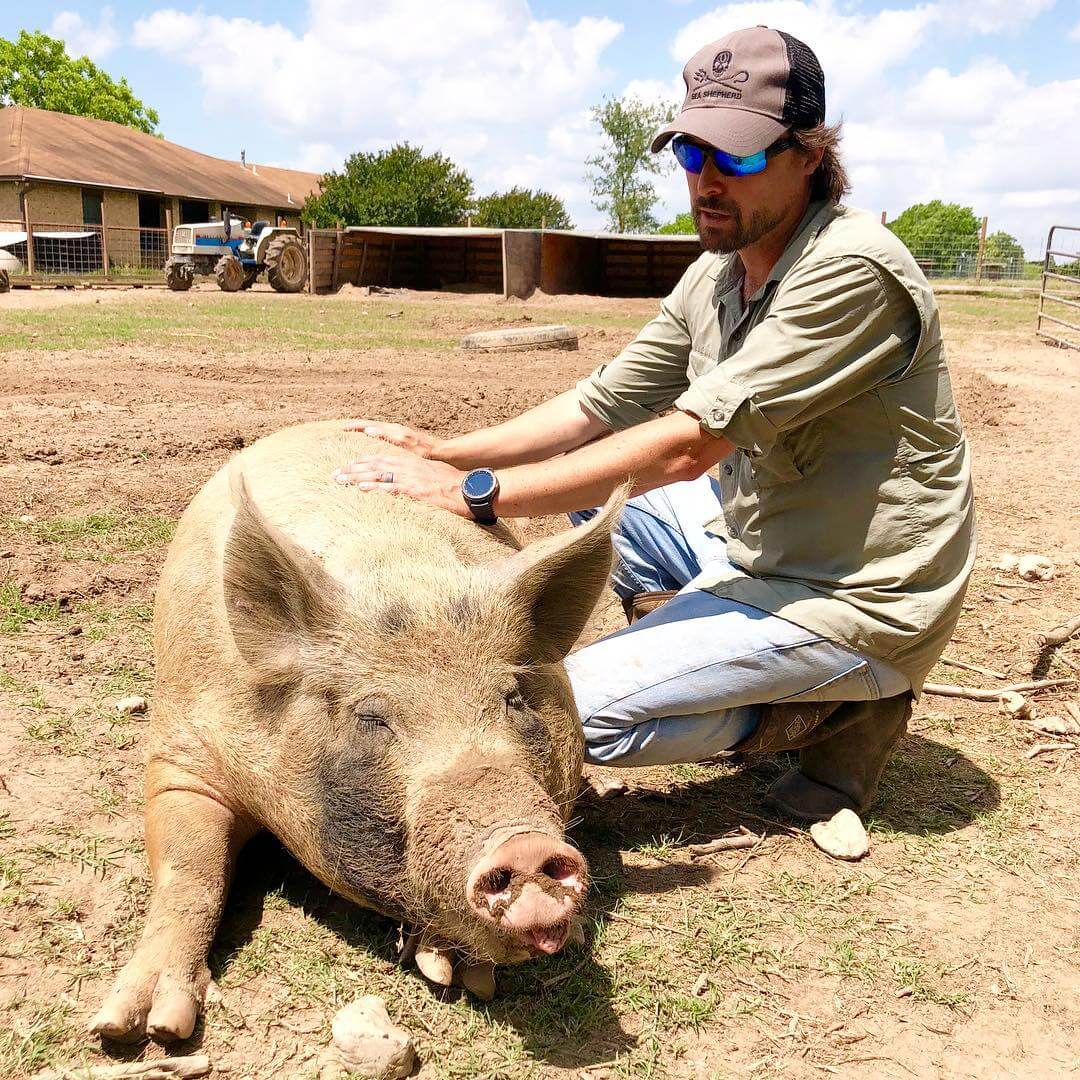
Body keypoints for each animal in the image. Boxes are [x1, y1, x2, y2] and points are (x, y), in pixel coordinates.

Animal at [91, 420, 622, 1043]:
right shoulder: (182, 753)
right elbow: (191, 866)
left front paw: (460, 974)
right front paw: (141, 1029)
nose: (527, 846)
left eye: (512, 699)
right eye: (372, 716)